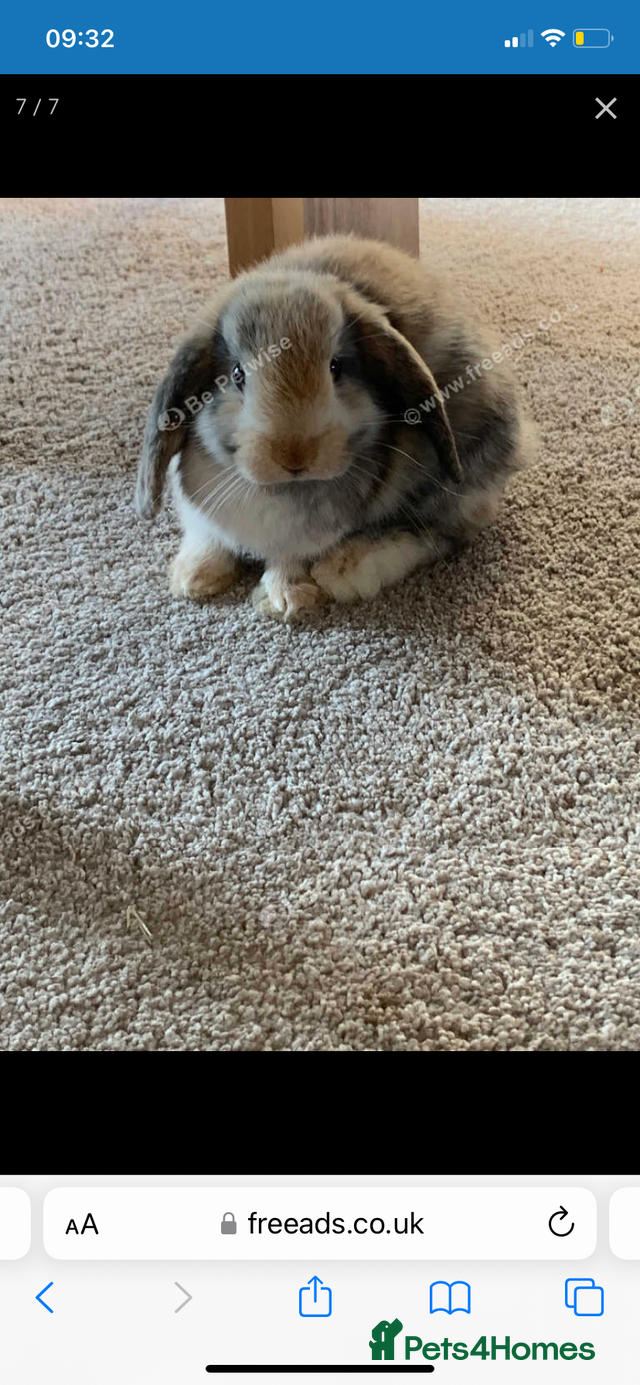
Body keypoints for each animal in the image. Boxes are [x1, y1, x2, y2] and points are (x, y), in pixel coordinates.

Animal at [135, 234, 535, 619]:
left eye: (335, 367)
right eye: (236, 375)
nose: (295, 455)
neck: (281, 490)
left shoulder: (302, 538)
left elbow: (288, 559)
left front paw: (286, 600)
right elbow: (205, 533)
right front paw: (193, 577)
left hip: (459, 474)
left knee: (438, 532)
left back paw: (344, 569)